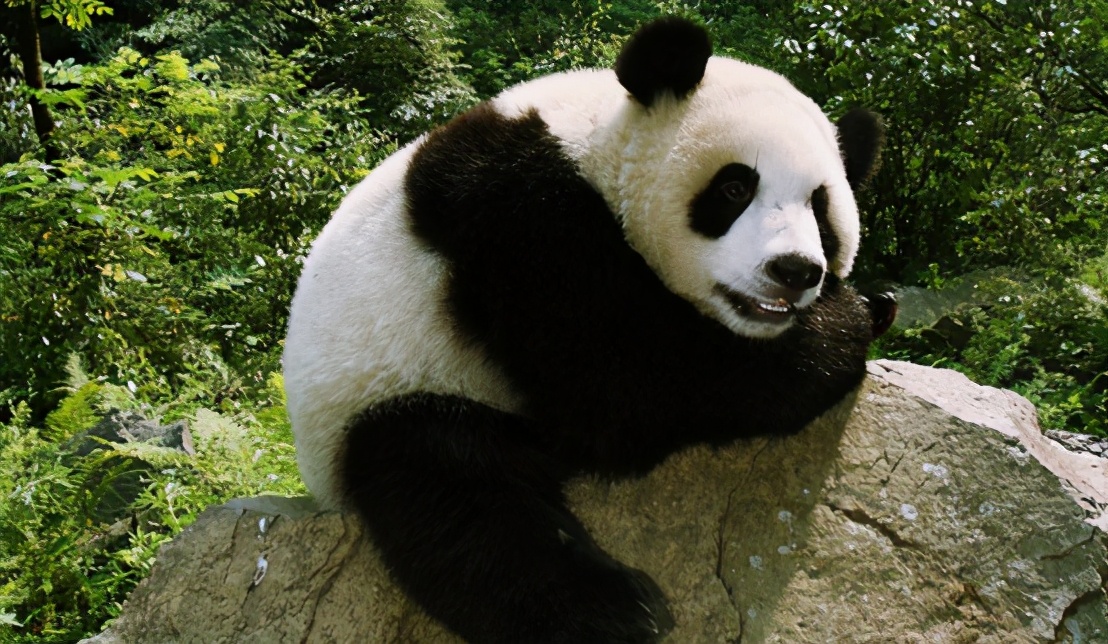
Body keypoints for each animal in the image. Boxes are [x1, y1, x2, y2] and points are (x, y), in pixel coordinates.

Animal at [283, 16, 892, 644]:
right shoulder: (516, 221)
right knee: (456, 493)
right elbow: (625, 386)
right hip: (392, 385)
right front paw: (848, 323)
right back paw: (617, 609)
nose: (794, 271)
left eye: (820, 209)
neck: (600, 149)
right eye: (734, 188)